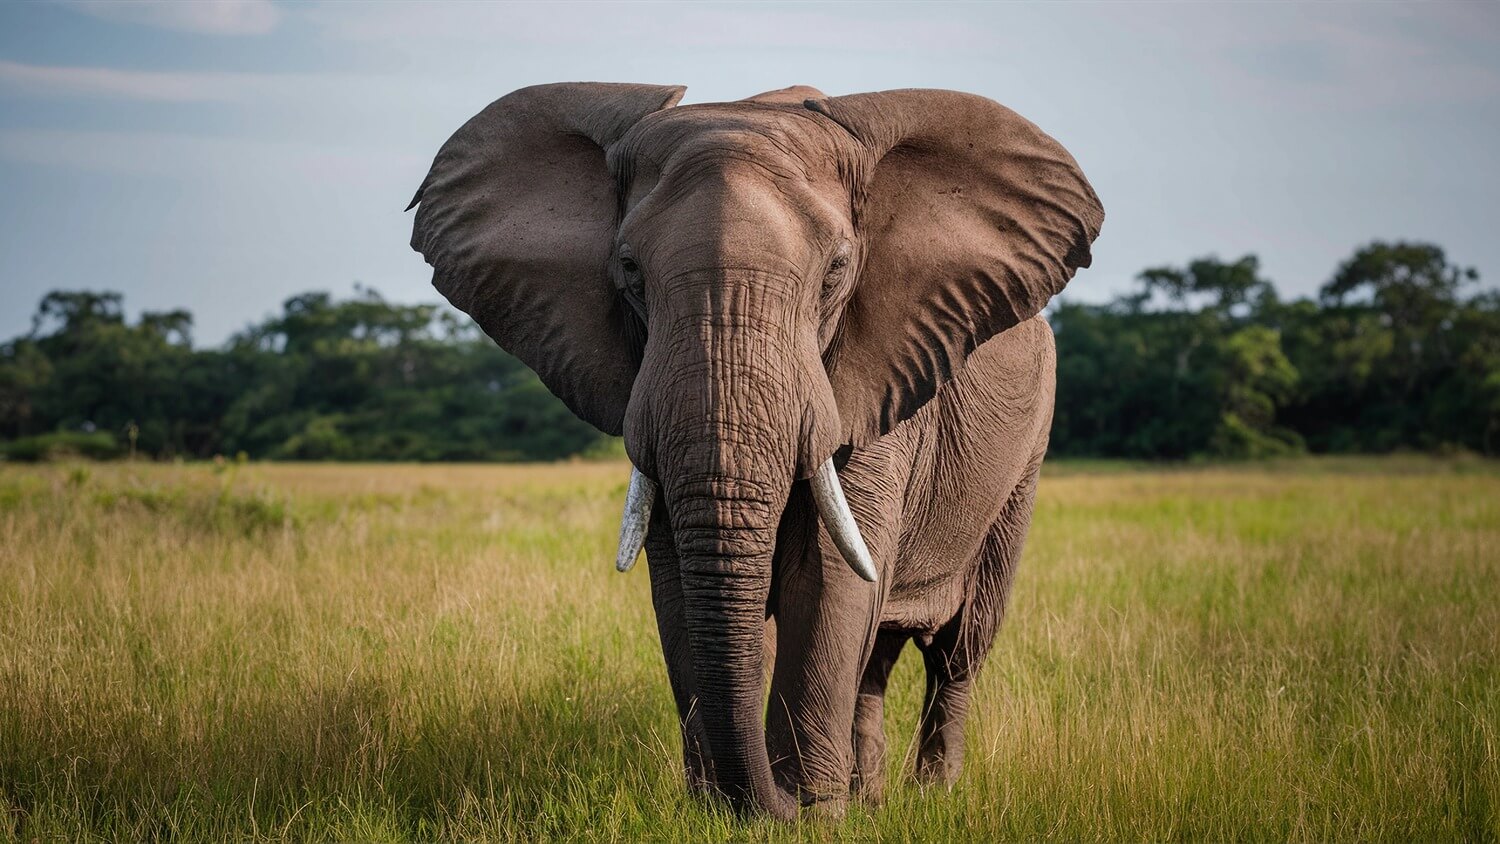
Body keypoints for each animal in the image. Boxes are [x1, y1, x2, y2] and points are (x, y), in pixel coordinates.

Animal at [408, 82, 1103, 820]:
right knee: (878, 656)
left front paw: (813, 815)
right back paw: (872, 800)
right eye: (629, 272)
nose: (771, 798)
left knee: (959, 647)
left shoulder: (872, 378)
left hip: (1028, 448)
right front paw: (723, 811)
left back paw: (930, 797)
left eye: (836, 273)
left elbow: (826, 579)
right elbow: (680, 579)